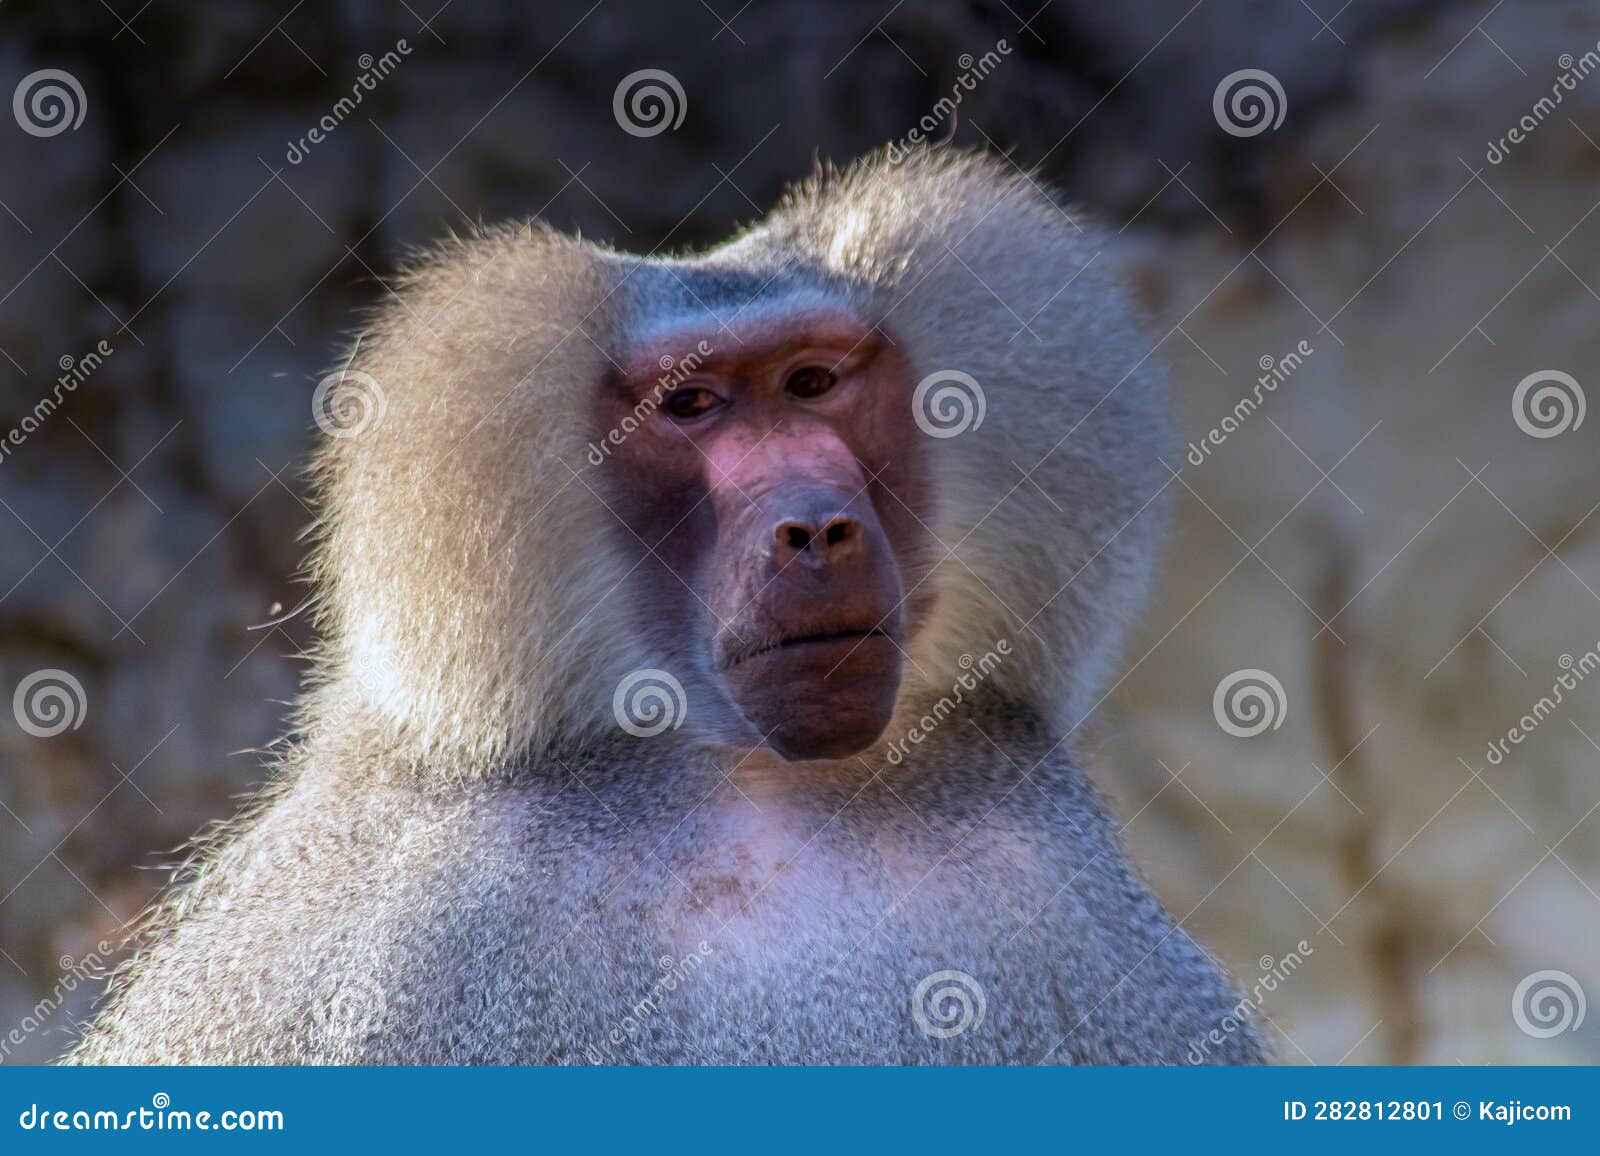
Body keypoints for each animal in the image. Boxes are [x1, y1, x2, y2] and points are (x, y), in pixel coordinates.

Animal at [65, 150, 1263, 1065]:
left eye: (813, 383)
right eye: (692, 405)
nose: (818, 529)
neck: (745, 783)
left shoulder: (1058, 891)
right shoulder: (383, 941)